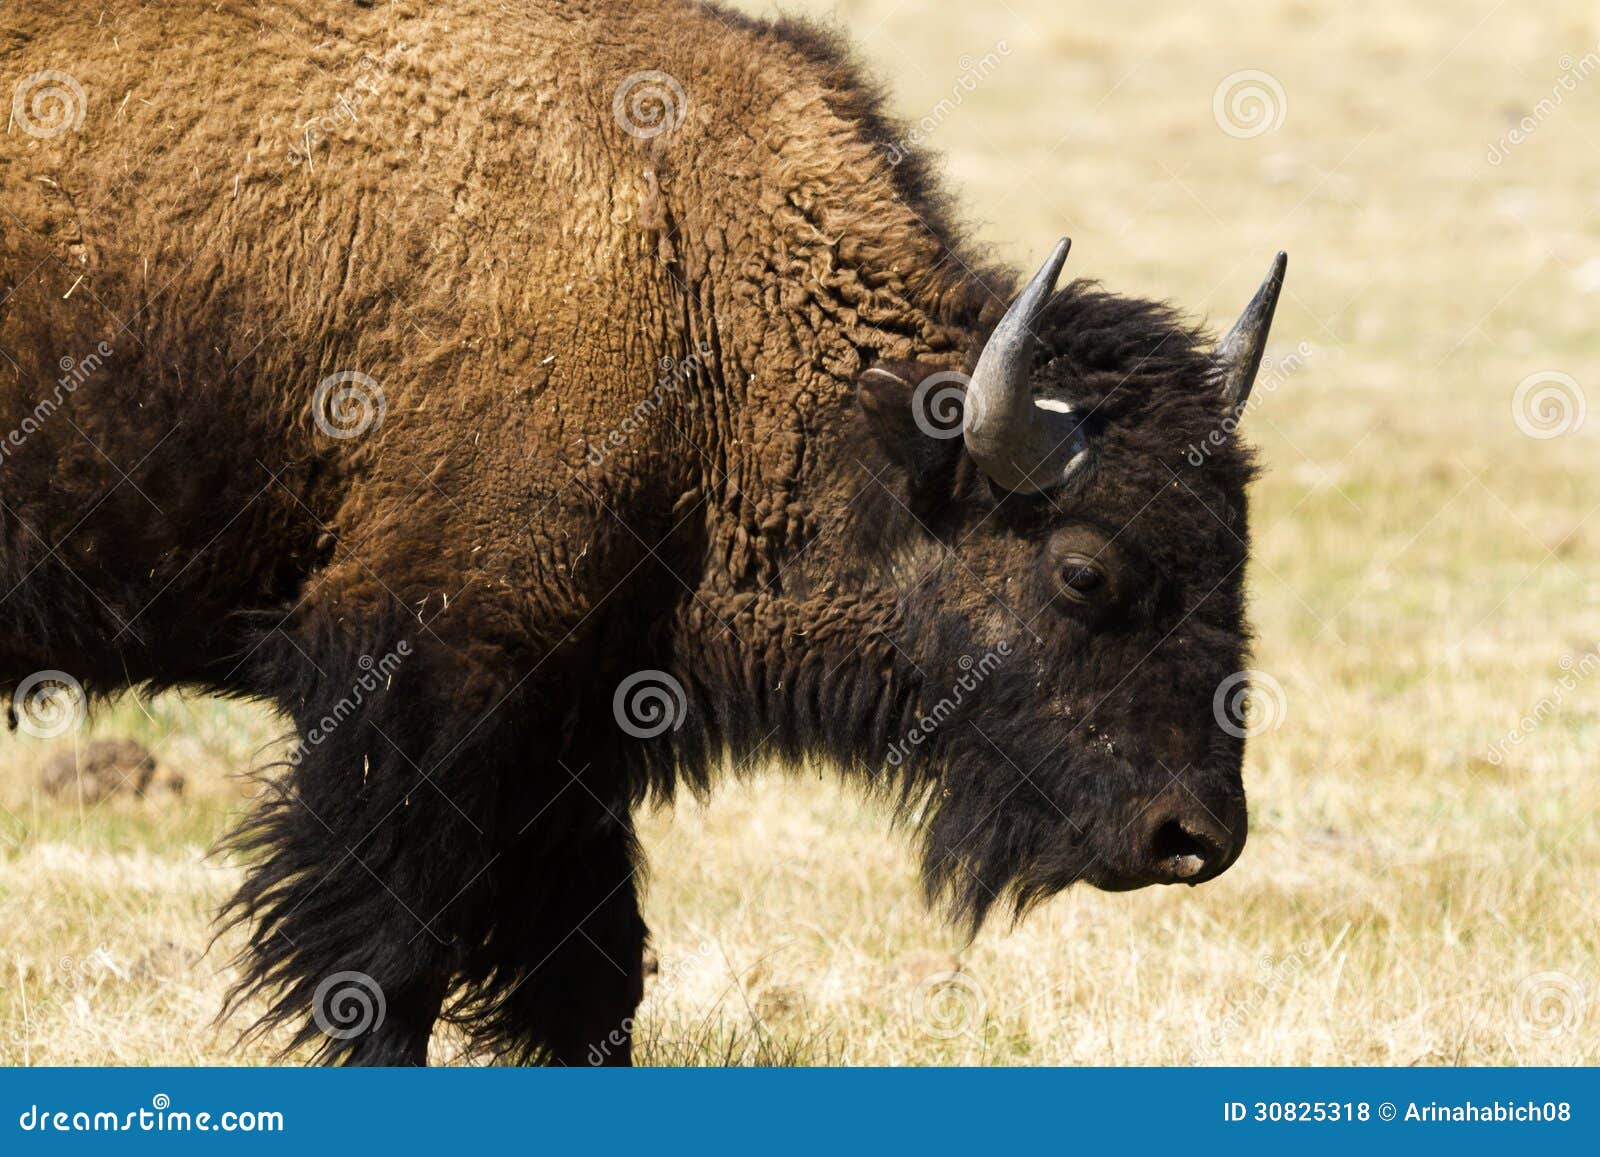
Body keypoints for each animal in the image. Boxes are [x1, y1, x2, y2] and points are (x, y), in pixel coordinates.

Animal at [0, 0, 1283, 1063]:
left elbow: (591, 976)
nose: (1195, 835)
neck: (697, 290)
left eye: (1236, 554)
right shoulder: (424, 685)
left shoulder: (574, 729)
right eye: (1082, 571)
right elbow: (389, 961)